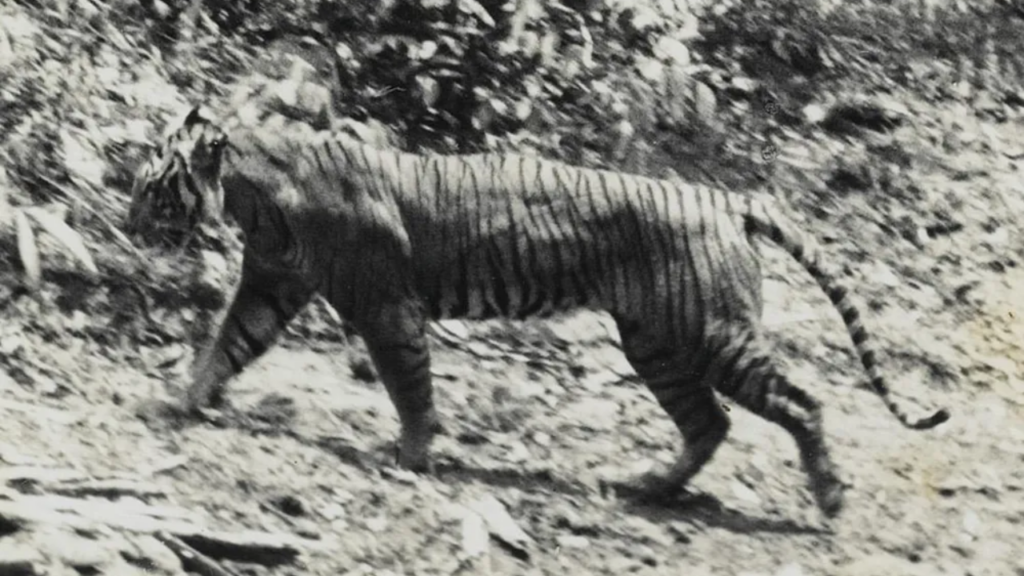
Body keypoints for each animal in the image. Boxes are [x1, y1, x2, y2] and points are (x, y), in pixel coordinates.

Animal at [127, 105, 949, 518]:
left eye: (150, 184)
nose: (129, 221)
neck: (253, 197)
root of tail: (723, 196)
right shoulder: (270, 286)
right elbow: (227, 346)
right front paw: (183, 401)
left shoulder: (385, 308)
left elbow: (408, 385)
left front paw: (412, 456)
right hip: (656, 343)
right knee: (708, 423)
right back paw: (650, 488)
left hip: (714, 335)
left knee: (801, 402)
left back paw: (831, 498)